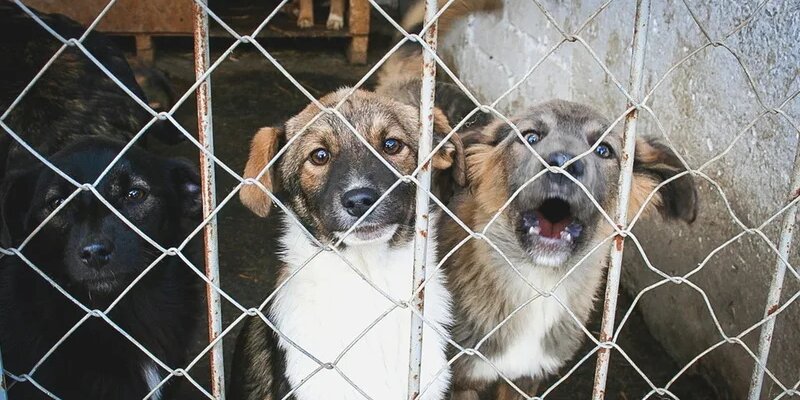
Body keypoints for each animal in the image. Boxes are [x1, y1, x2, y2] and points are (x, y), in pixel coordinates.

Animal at [440, 101, 696, 400]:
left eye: (603, 150)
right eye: (530, 137)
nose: (562, 165)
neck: (540, 285)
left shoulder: (526, 378)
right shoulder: (460, 380)